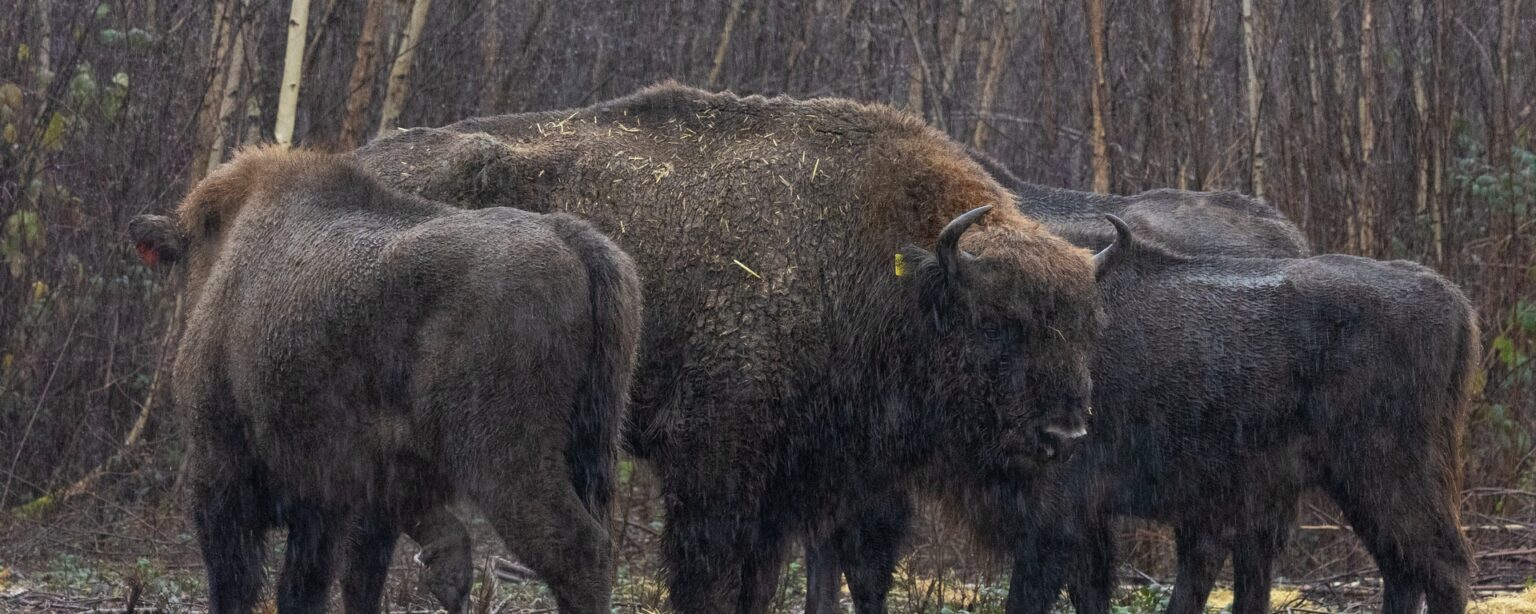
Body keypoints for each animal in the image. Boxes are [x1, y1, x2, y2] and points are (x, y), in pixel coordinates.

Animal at [128, 147, 643, 614]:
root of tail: (570, 237)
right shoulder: (329, 503)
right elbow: (320, 586)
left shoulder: (222, 474)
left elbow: (236, 585)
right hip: (584, 448)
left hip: (508, 462)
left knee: (578, 551)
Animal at [345, 82, 1108, 613]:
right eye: (1000, 322)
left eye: (1085, 325)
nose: (1066, 434)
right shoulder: (714, 465)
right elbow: (707, 575)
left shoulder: (786, 484)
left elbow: (756, 582)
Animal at [811, 216, 1479, 614]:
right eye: (996, 321)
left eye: (1082, 324)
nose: (1067, 430)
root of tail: (1450, 298)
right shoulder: (1088, 526)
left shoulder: (1054, 522)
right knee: (1404, 570)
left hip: (1389, 476)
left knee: (1441, 567)